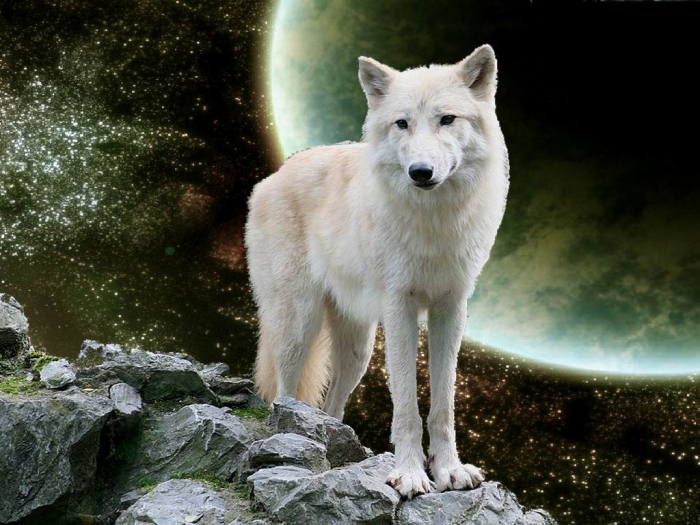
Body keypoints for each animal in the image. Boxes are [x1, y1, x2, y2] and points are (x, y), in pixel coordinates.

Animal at [245, 45, 509, 499]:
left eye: (447, 119)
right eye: (402, 123)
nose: (420, 172)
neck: (434, 222)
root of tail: (274, 177)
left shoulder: (451, 308)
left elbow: (443, 405)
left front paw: (450, 472)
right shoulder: (400, 307)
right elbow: (406, 405)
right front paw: (411, 474)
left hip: (358, 351)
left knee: (332, 405)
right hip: (299, 325)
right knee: (283, 392)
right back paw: (289, 440)